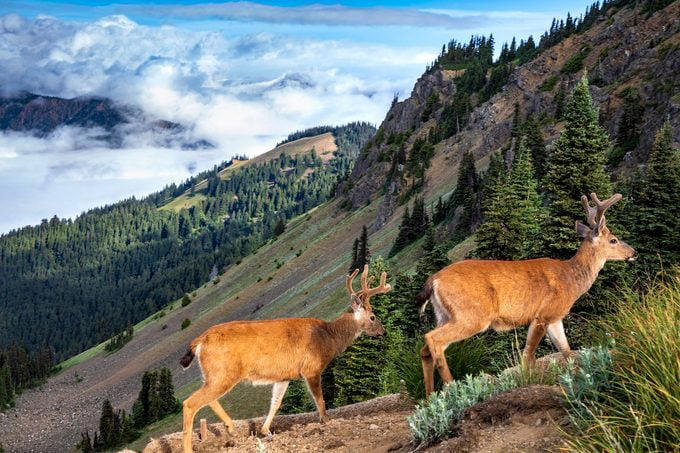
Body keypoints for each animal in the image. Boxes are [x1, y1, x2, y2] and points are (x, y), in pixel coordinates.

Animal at [179, 264, 391, 453]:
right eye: (373, 316)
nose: (383, 332)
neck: (329, 337)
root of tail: (199, 341)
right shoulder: (311, 368)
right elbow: (320, 399)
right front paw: (325, 421)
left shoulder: (283, 376)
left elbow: (276, 402)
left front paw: (265, 431)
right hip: (223, 373)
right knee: (190, 403)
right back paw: (190, 447)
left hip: (213, 374)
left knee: (207, 399)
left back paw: (230, 427)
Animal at [417, 193, 637, 396]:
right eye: (614, 240)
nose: (634, 252)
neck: (571, 280)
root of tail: (433, 280)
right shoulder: (542, 315)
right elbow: (528, 355)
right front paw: (527, 382)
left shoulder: (555, 318)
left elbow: (566, 351)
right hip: (472, 315)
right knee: (433, 339)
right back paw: (450, 388)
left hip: (444, 315)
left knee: (425, 349)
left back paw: (429, 397)